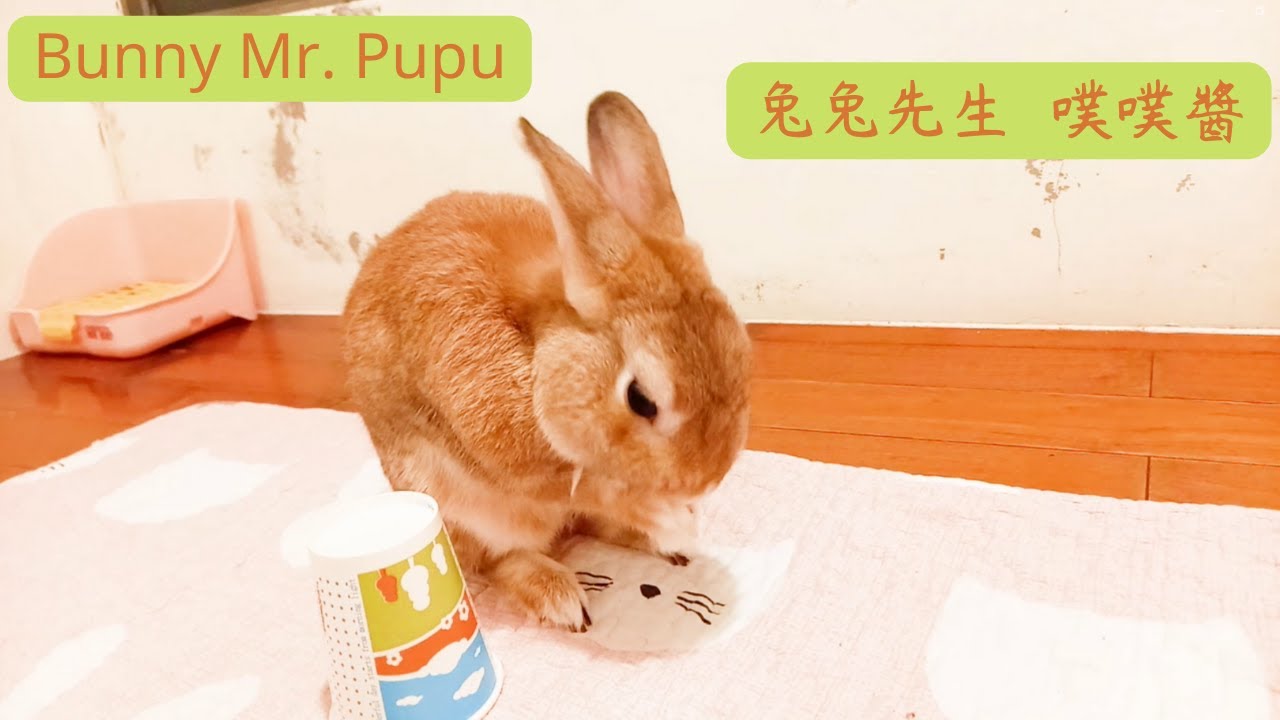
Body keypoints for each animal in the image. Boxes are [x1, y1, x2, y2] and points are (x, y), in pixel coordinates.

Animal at [341, 91, 753, 632]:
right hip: (461, 513)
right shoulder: (521, 458)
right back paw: (563, 597)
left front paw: (679, 524)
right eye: (641, 399)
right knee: (499, 559)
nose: (703, 481)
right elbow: (590, 489)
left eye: (742, 354)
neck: (541, 344)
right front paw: (670, 520)